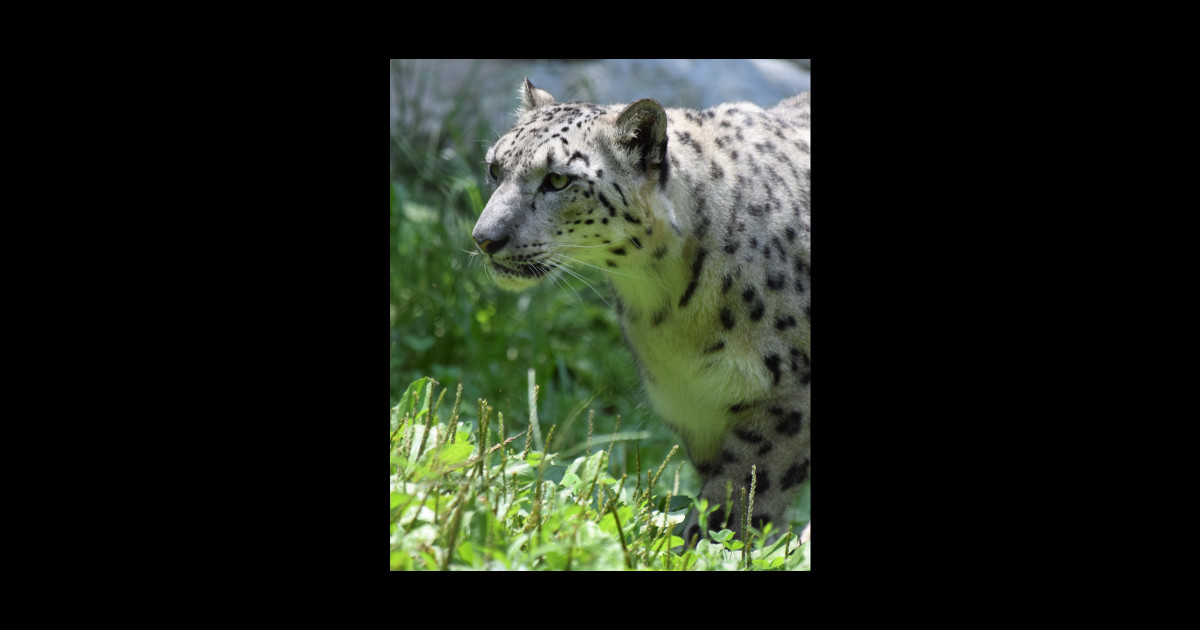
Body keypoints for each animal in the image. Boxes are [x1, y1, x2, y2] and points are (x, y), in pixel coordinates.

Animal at [472, 78, 810, 547]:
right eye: (494, 169)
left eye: (557, 179)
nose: (484, 238)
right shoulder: (696, 408)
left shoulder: (787, 401)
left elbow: (742, 495)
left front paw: (704, 545)